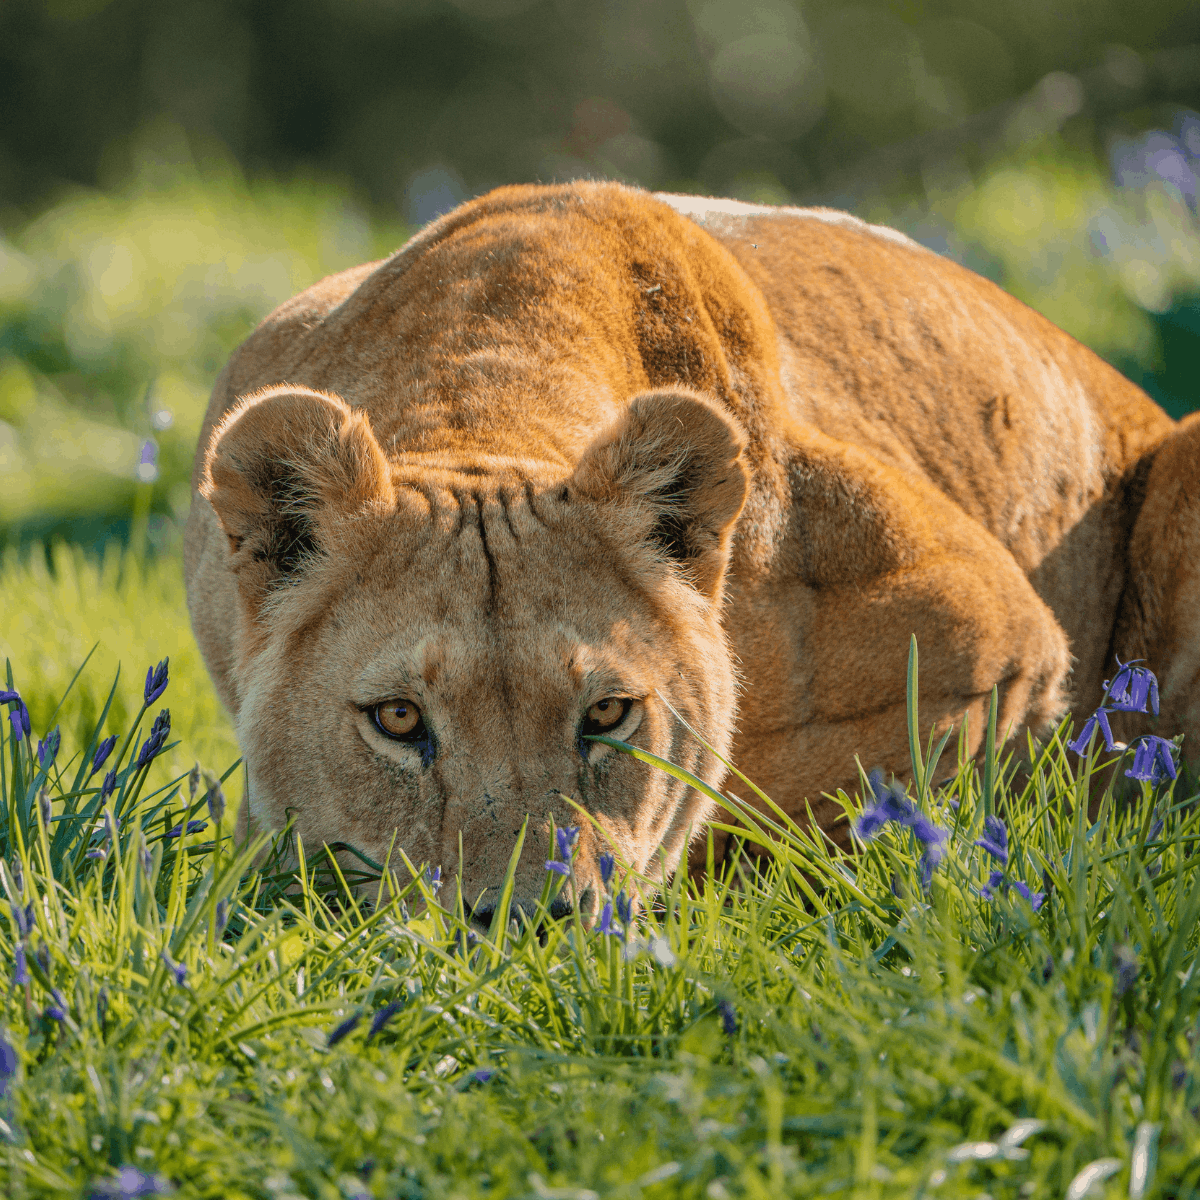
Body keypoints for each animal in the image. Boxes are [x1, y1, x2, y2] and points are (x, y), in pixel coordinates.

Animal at [184, 181, 1199, 921]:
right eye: (397, 719)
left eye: (608, 714)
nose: (527, 926)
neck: (483, 399)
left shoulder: (997, 646)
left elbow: (808, 814)